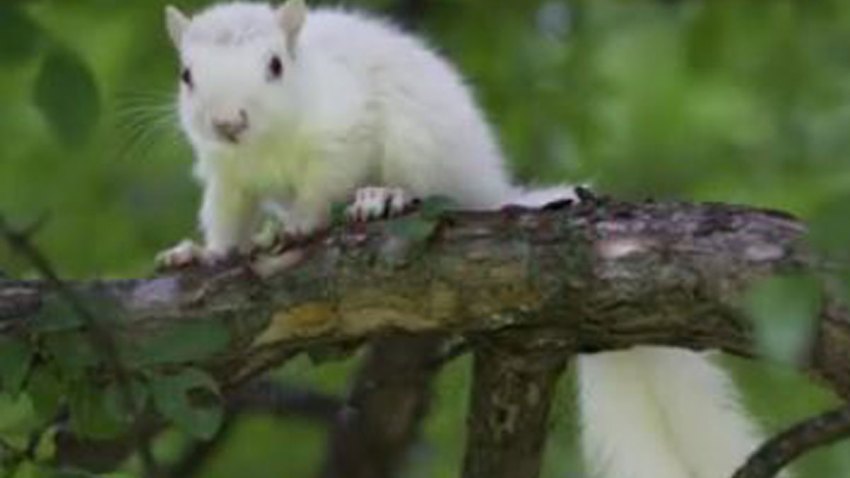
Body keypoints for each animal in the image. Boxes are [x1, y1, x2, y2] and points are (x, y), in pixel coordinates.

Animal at [159, 2, 768, 477]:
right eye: (186, 74)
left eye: (275, 65)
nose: (228, 122)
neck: (264, 145)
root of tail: (487, 186)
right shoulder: (225, 174)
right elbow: (226, 216)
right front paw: (202, 251)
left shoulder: (343, 129)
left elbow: (322, 185)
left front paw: (297, 226)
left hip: (418, 143)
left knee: (426, 189)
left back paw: (380, 197)